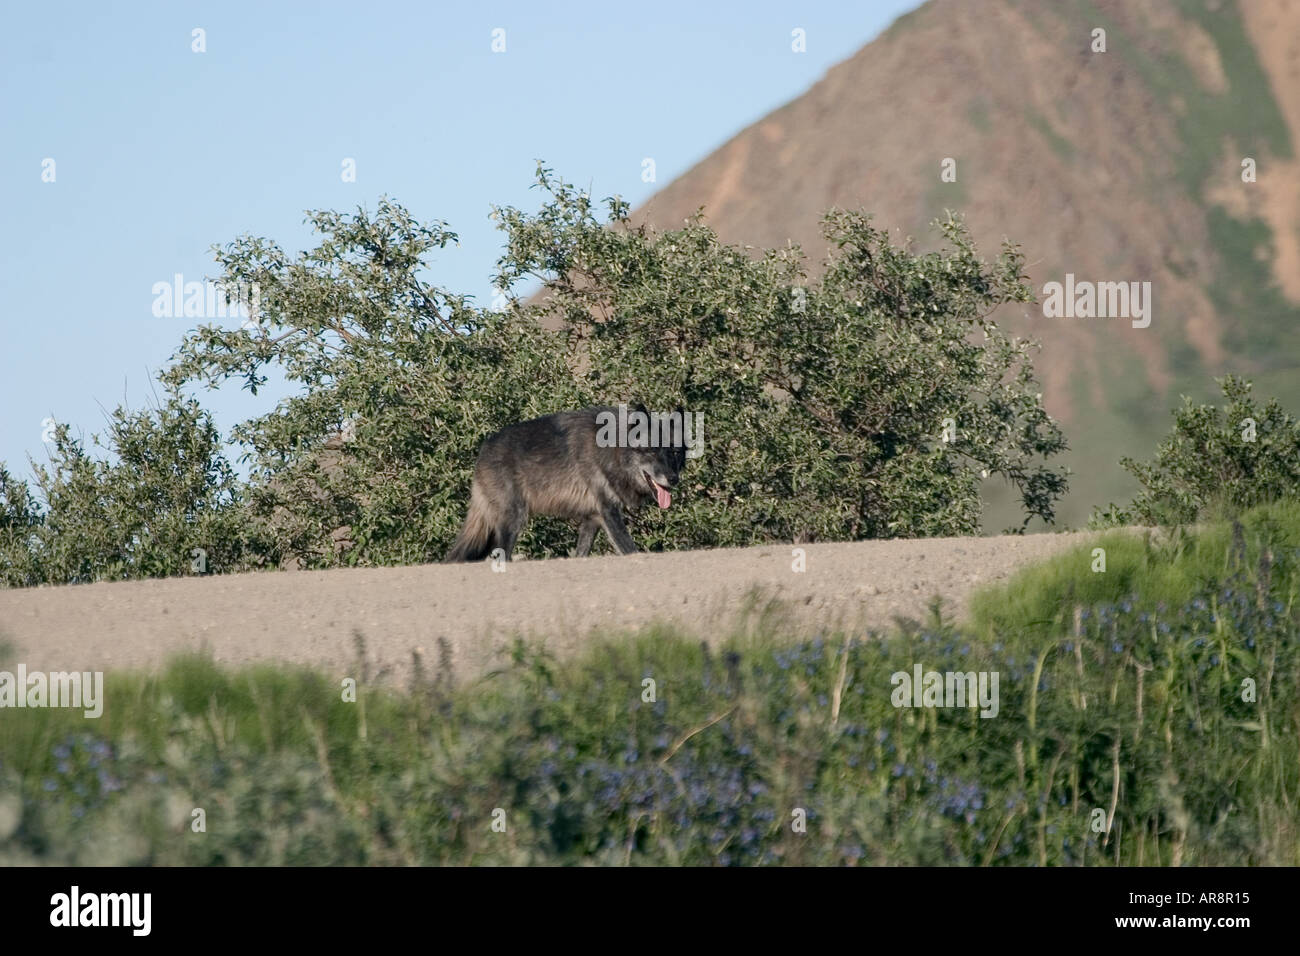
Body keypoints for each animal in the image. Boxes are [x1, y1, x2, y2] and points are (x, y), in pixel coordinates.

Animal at [443, 407, 688, 562]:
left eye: (675, 452)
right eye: (652, 451)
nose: (673, 479)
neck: (611, 451)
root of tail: (484, 449)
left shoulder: (592, 518)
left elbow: (581, 554)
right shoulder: (609, 511)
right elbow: (630, 550)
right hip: (512, 522)